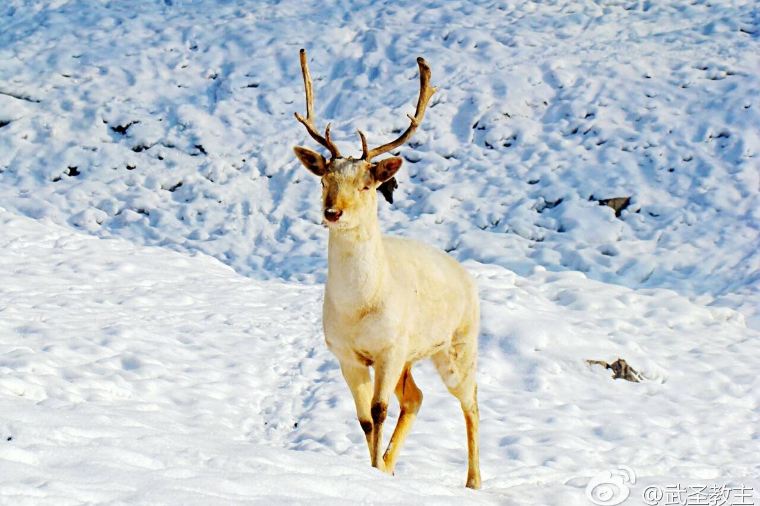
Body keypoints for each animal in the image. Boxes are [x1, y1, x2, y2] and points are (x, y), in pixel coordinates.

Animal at [292, 49, 481, 489]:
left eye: (367, 185)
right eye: (324, 179)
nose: (333, 212)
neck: (359, 308)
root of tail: (466, 275)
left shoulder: (390, 348)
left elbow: (378, 412)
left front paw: (376, 469)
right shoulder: (346, 354)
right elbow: (364, 419)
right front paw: (376, 467)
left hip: (459, 345)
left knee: (471, 401)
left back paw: (473, 481)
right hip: (413, 356)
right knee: (416, 398)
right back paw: (394, 463)